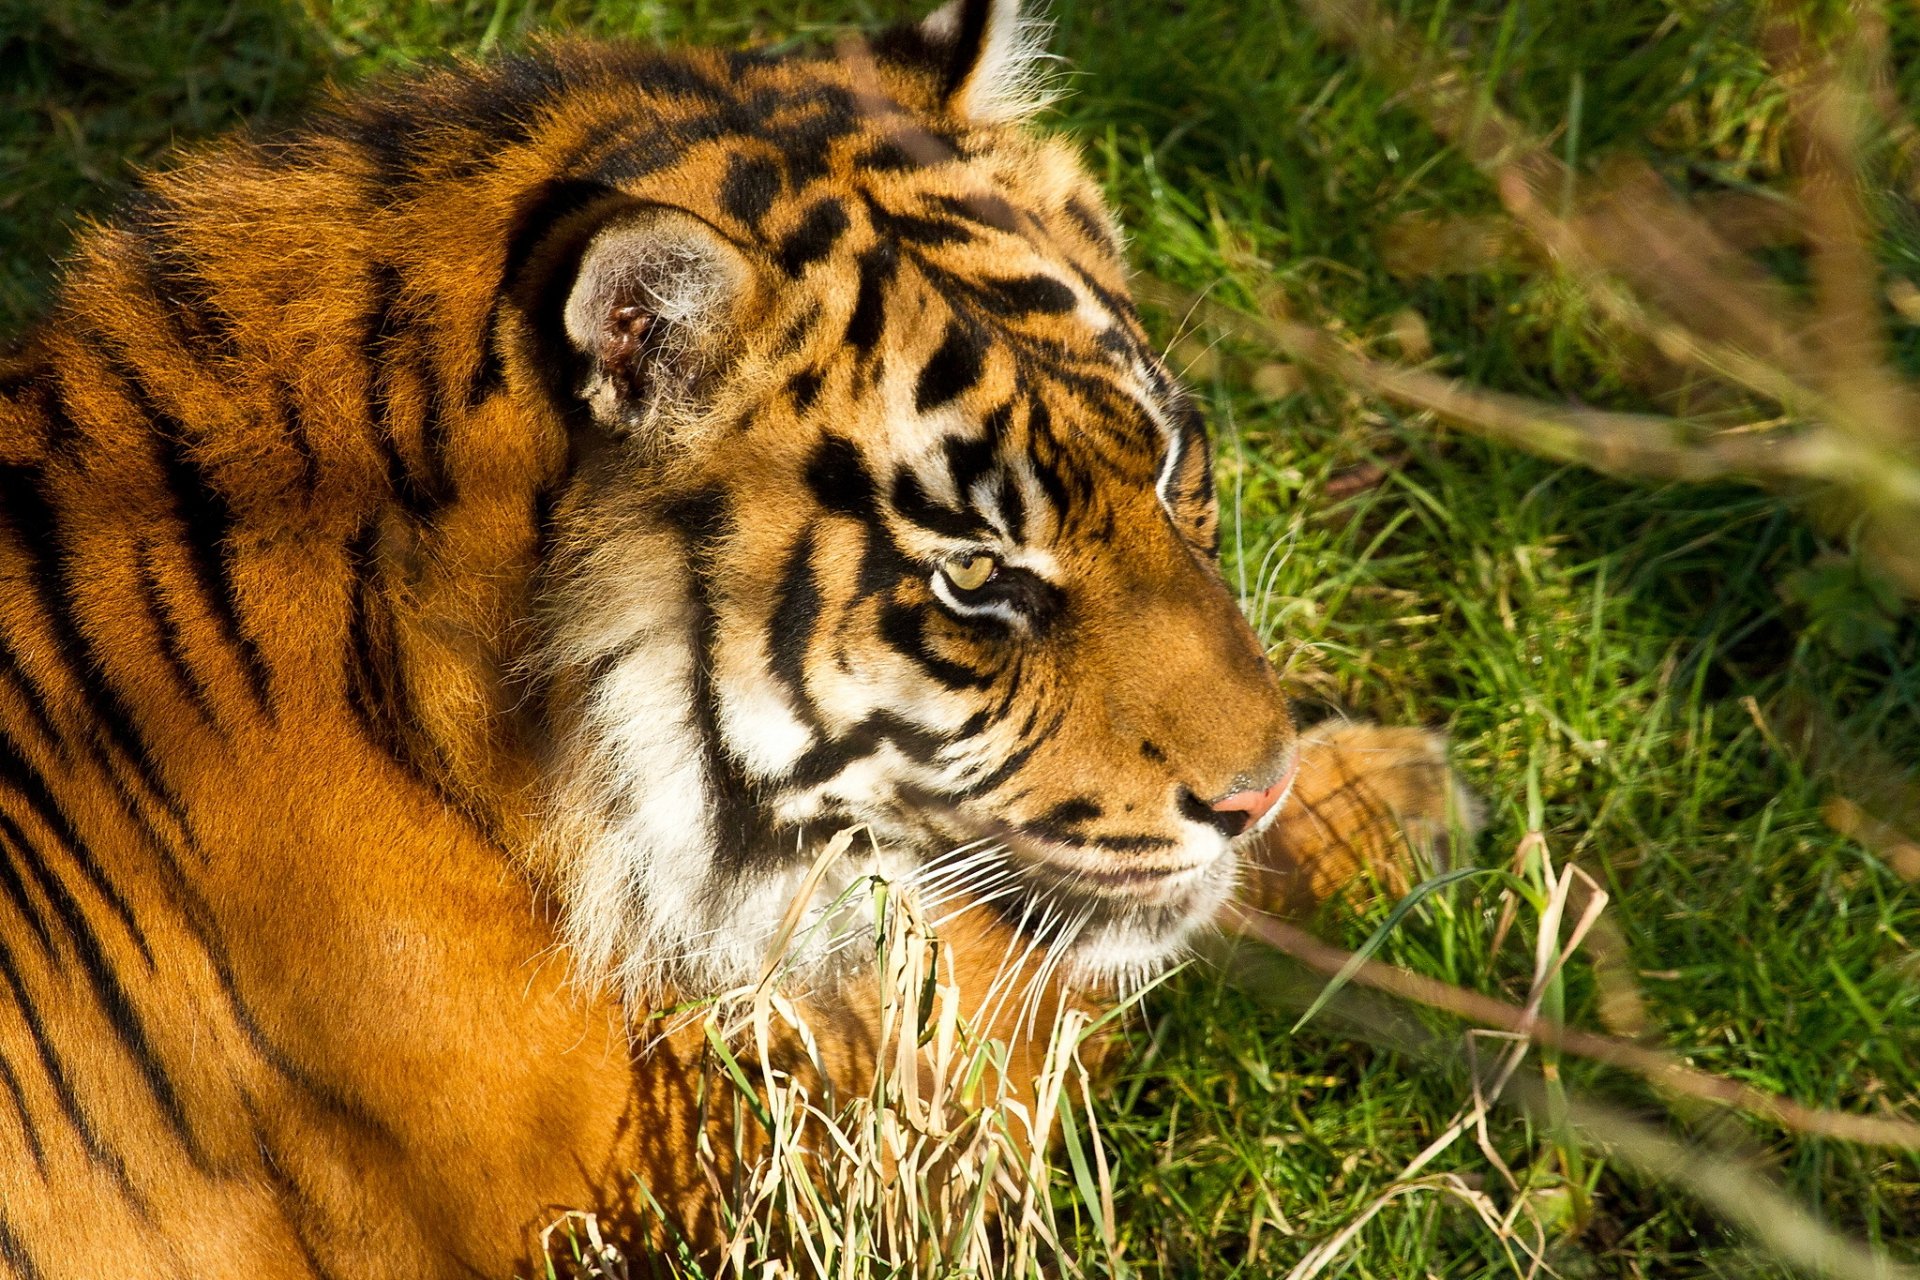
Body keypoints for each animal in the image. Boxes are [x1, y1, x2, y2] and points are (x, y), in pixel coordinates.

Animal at [0, 0, 1472, 1275]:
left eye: (1171, 468)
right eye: (977, 577)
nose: (1253, 792)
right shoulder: (683, 1174)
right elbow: (1022, 965)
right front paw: (1401, 803)